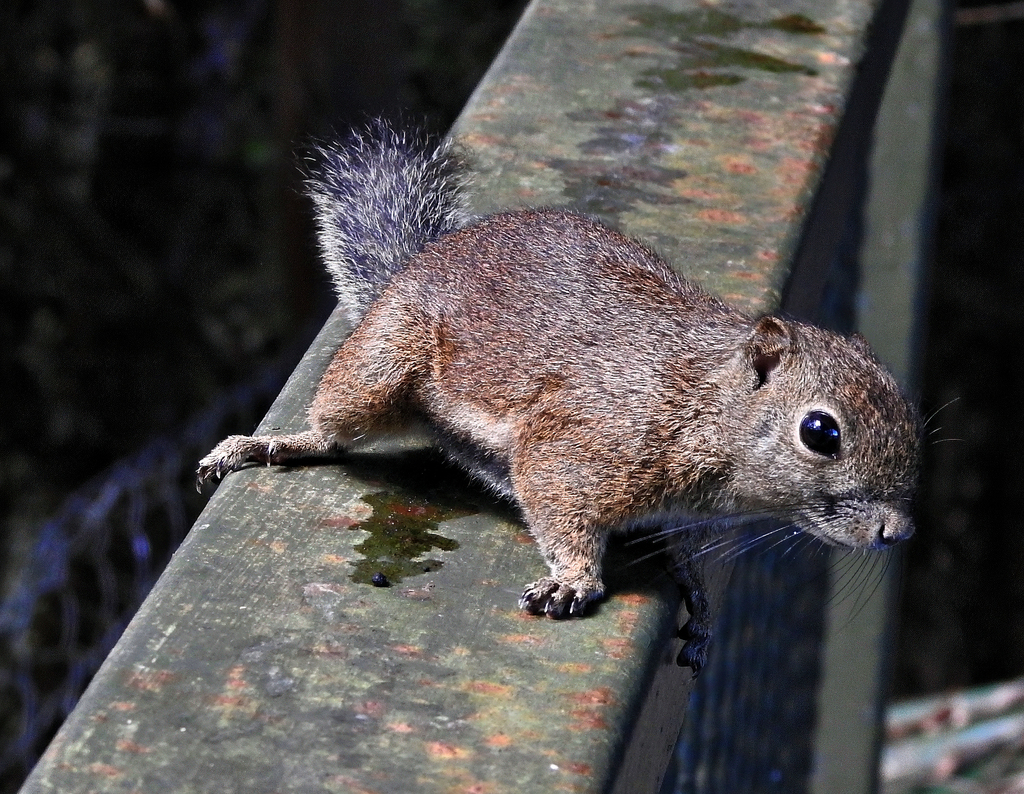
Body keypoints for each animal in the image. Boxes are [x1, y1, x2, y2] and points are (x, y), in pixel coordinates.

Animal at [197, 121, 921, 673]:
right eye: (820, 432)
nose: (898, 532)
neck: (703, 403)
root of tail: (413, 265)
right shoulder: (582, 441)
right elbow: (559, 500)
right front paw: (576, 578)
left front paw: (692, 587)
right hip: (381, 364)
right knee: (335, 424)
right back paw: (269, 443)